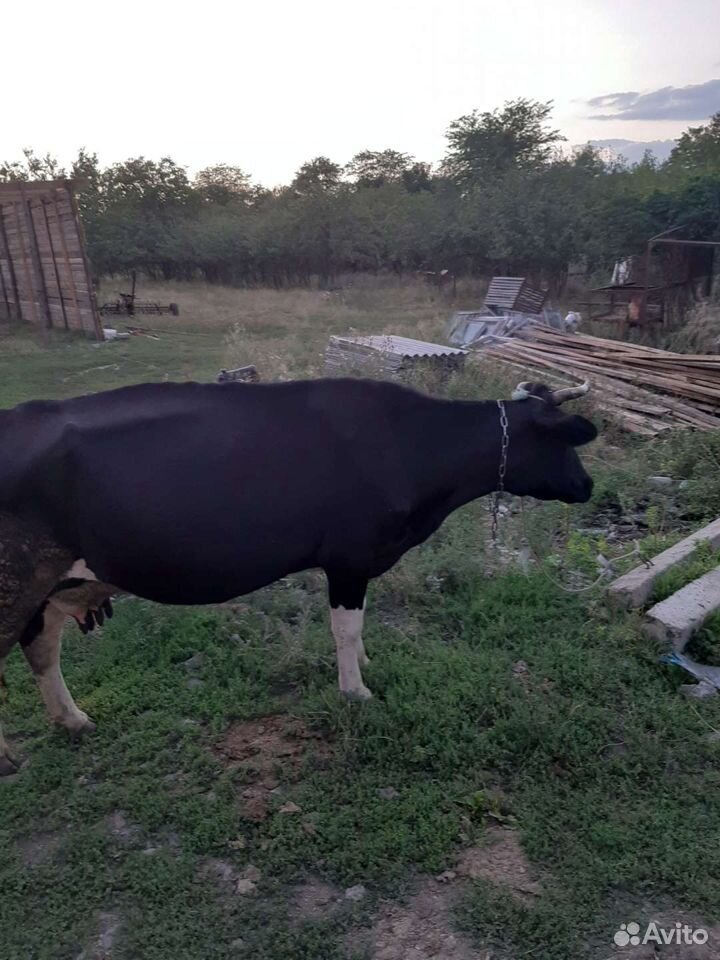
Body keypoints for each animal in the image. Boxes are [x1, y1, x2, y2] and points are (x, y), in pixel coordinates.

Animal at [0, 376, 596, 775]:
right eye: (564, 441)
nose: (589, 486)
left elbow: (359, 624)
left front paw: (364, 666)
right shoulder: (350, 556)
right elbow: (346, 627)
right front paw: (356, 690)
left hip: (47, 590)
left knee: (42, 650)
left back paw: (73, 720)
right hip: (15, 584)